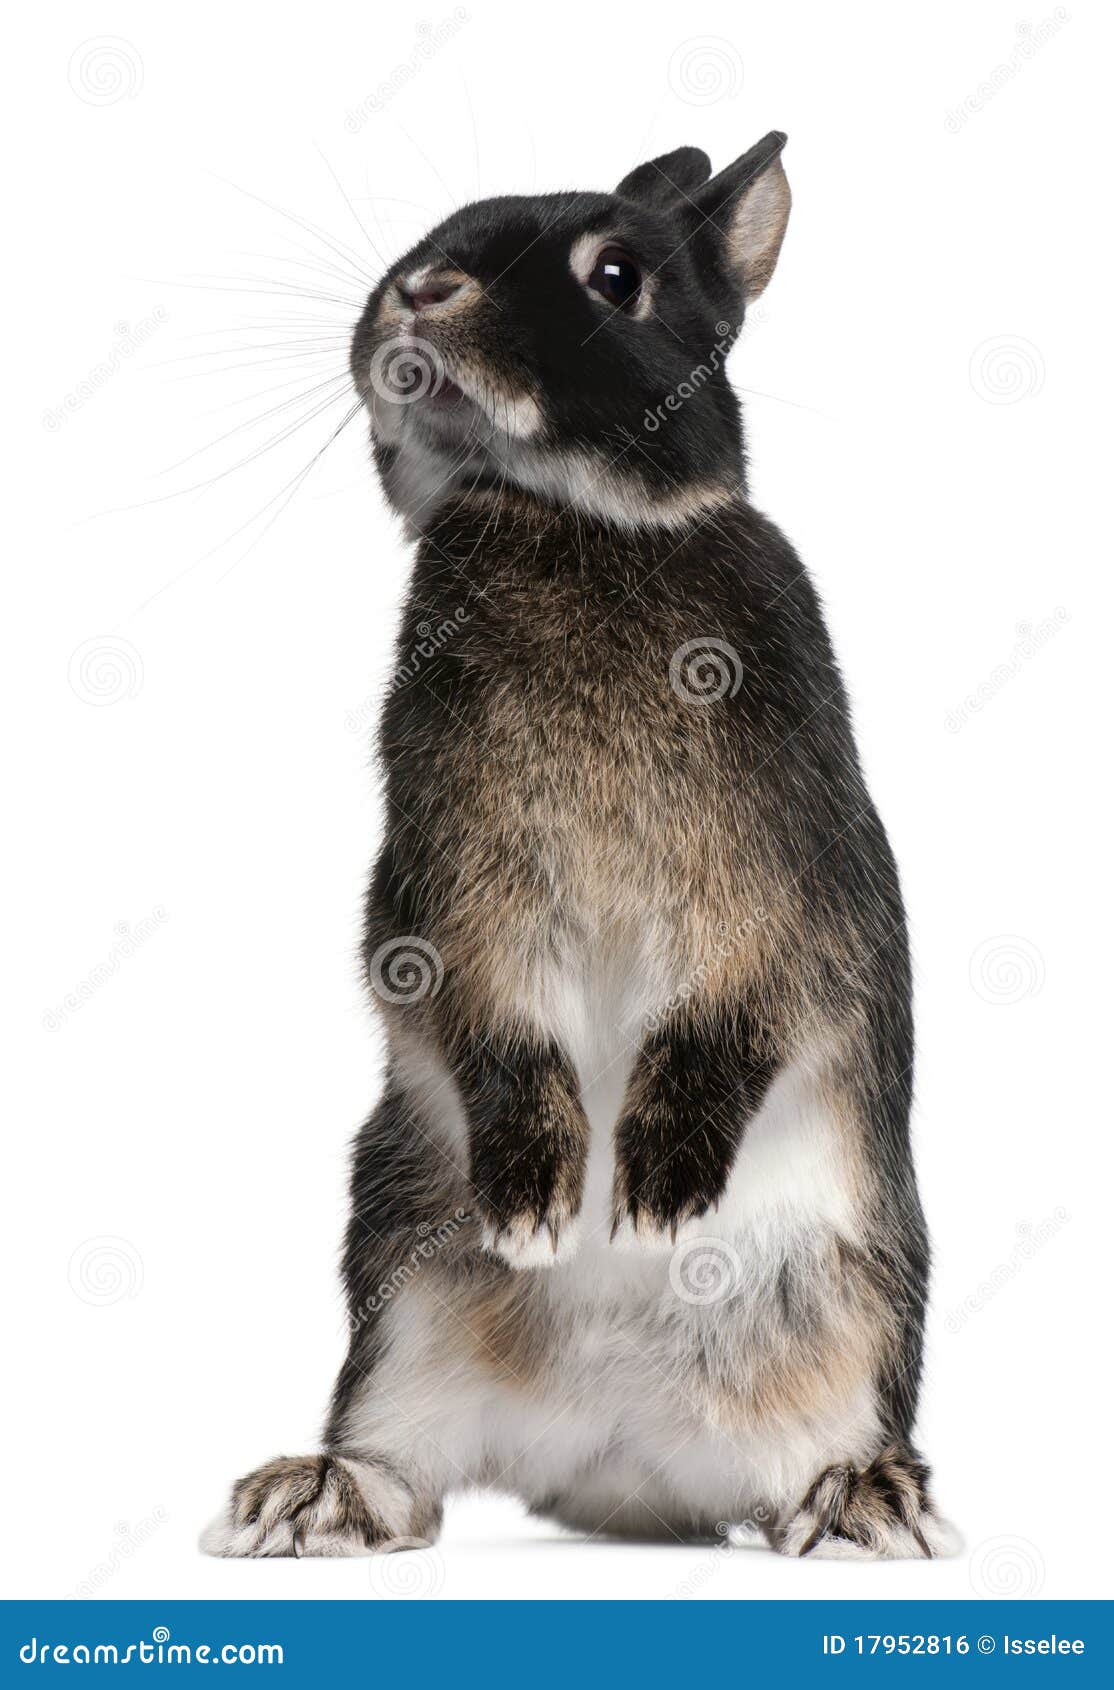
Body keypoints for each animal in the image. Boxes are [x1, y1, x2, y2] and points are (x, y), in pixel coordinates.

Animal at [202, 133, 958, 1561]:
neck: (567, 516)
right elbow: (493, 1019)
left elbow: (737, 1007)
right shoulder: (450, 894)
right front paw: (538, 1207)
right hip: (403, 1281)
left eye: (616, 276)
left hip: (856, 1293)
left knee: (830, 1426)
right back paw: (311, 1496)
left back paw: (865, 1502)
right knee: (398, 1451)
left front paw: (654, 1194)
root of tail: (622, 1453)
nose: (422, 291)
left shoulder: (776, 893)